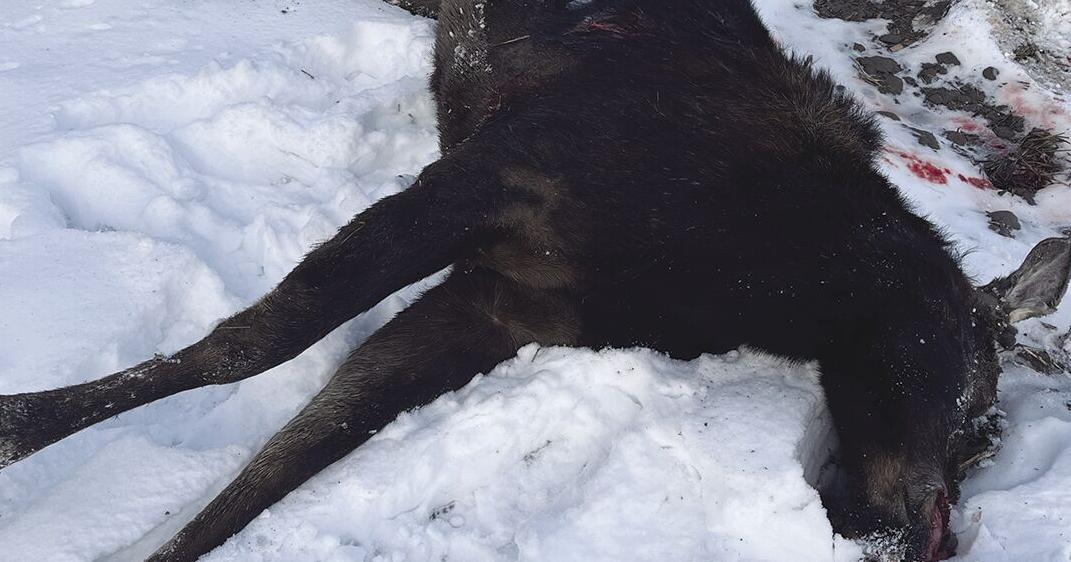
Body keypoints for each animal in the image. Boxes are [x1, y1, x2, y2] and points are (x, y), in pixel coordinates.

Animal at [2, 0, 1069, 560]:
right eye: (974, 410)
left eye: (987, 438)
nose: (926, 533)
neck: (769, 275)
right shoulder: (492, 179)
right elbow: (249, 344)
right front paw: (17, 426)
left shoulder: (503, 305)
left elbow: (279, 465)